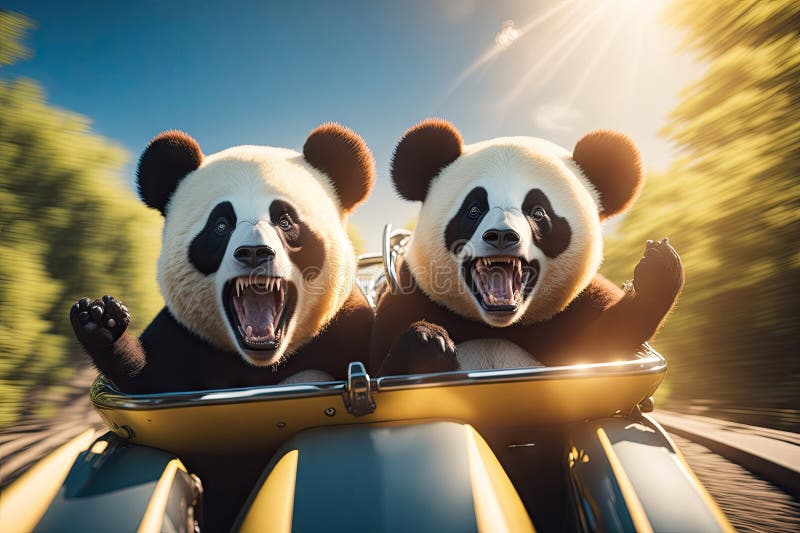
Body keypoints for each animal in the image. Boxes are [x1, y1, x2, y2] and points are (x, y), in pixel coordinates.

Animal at [71, 124, 375, 393]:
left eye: (285, 221)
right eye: (220, 225)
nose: (254, 252)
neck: (262, 362)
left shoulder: (345, 327)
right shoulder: (182, 337)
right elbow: (147, 380)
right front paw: (101, 321)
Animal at [371, 119, 684, 375]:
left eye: (538, 212)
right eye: (474, 209)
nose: (500, 235)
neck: (499, 324)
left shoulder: (573, 308)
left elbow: (609, 339)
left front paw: (657, 265)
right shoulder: (410, 300)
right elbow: (382, 369)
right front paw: (430, 339)